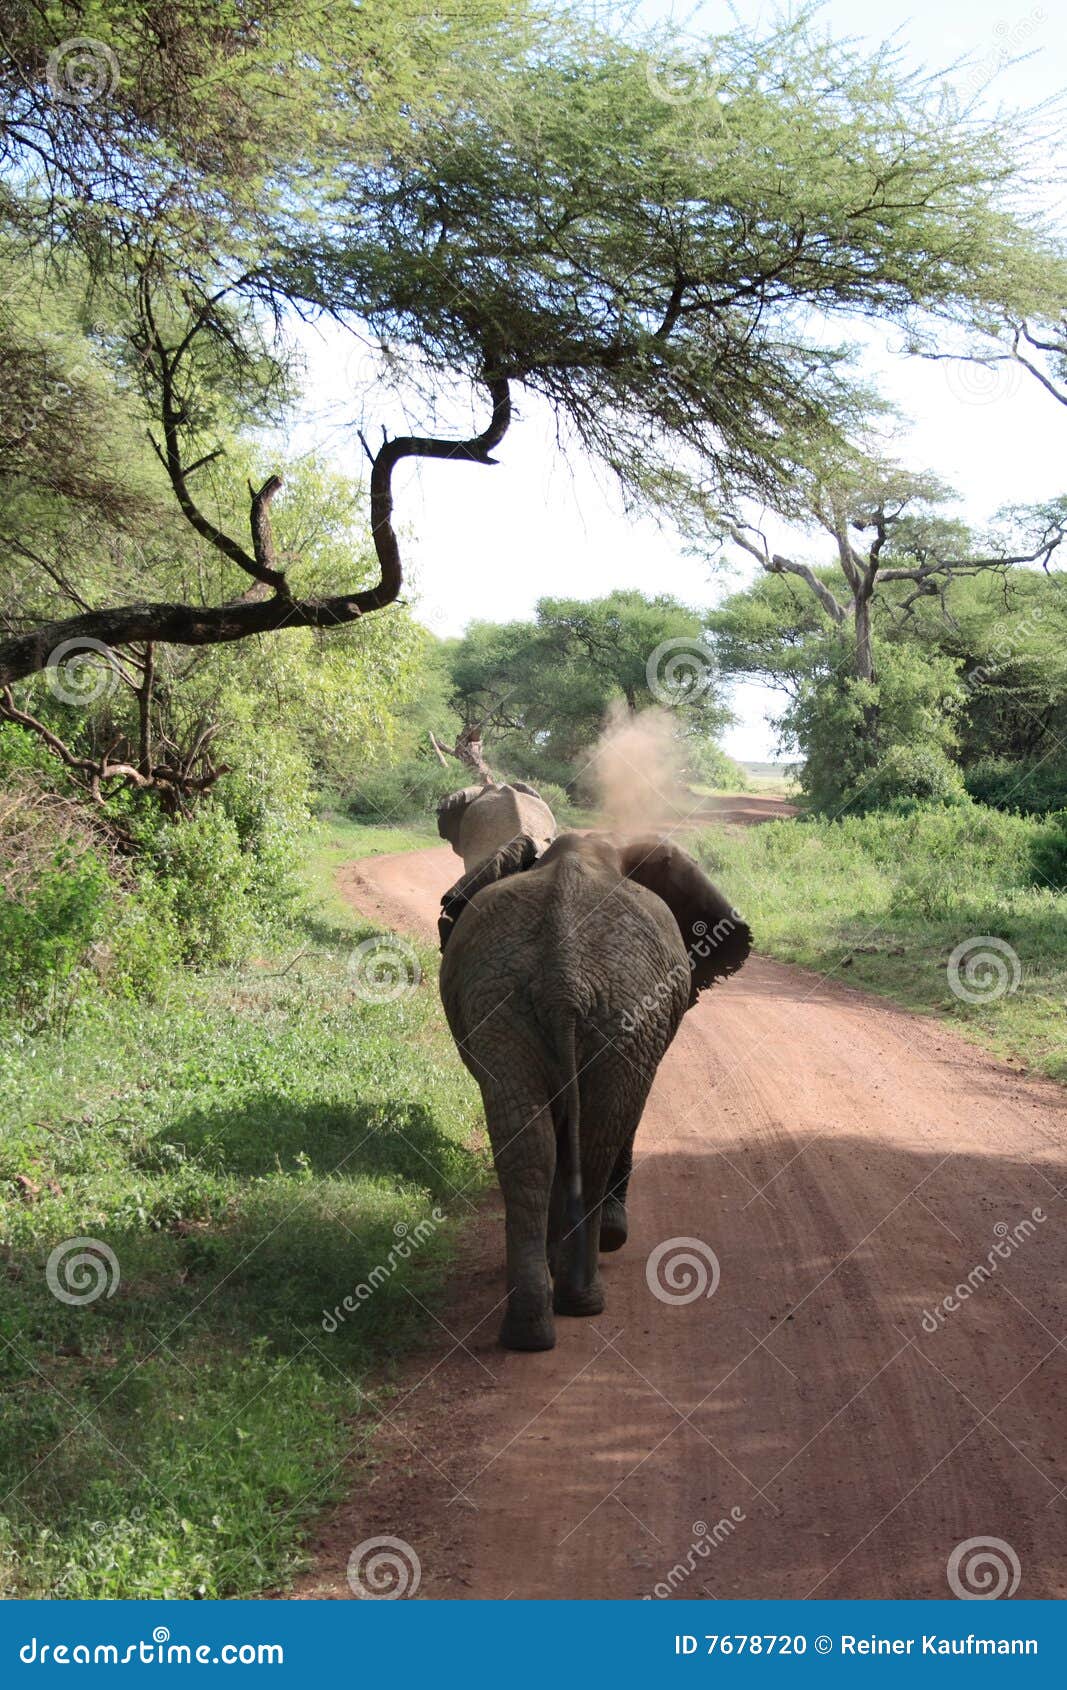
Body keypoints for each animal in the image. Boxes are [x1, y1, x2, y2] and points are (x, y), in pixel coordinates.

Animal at [438, 827, 751, 1351]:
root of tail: (562, 979)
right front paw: (610, 1237)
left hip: (506, 1009)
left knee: (529, 1148)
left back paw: (529, 1330)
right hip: (622, 1014)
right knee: (597, 1141)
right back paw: (582, 1299)